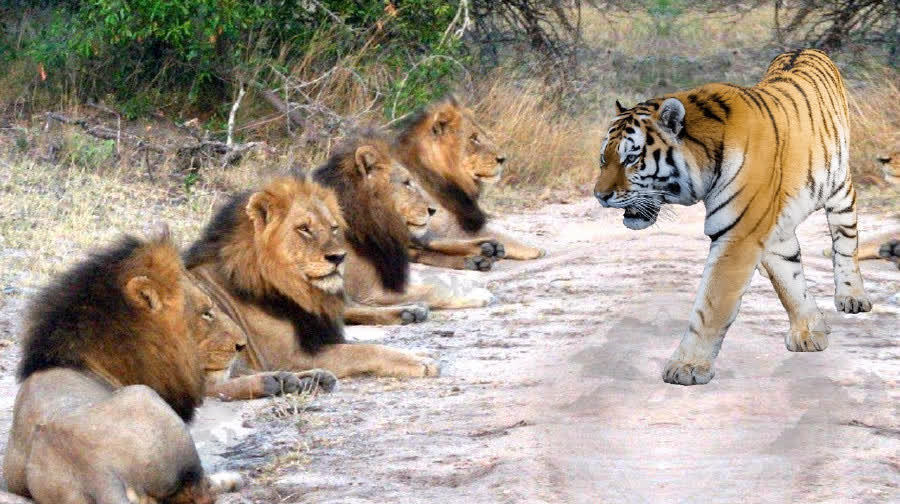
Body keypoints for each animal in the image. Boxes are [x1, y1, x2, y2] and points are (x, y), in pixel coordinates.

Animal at [592, 49, 872, 386]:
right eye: (603, 158)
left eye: (631, 158)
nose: (599, 195)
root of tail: (805, 49)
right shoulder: (767, 232)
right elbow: (789, 283)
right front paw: (809, 331)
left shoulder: (738, 235)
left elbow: (711, 304)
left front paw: (687, 366)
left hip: (840, 190)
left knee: (845, 245)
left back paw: (852, 296)